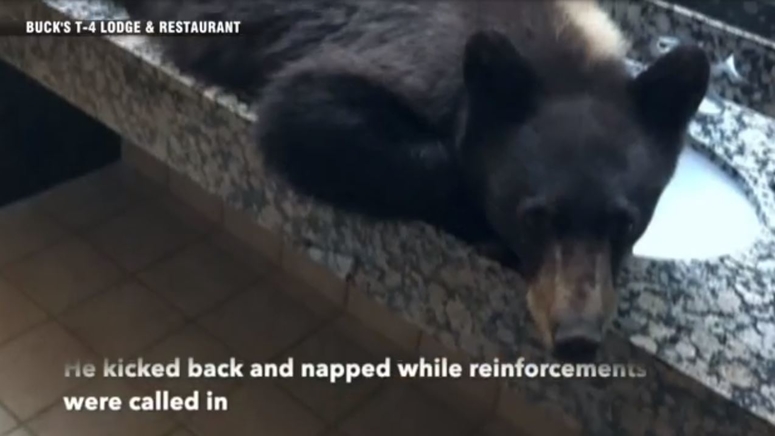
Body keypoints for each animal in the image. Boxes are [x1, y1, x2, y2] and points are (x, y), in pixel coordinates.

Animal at [111, 0, 710, 362]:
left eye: (625, 221)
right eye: (534, 217)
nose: (577, 339)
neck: (560, 54)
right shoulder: (408, 53)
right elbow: (298, 107)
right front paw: (481, 225)